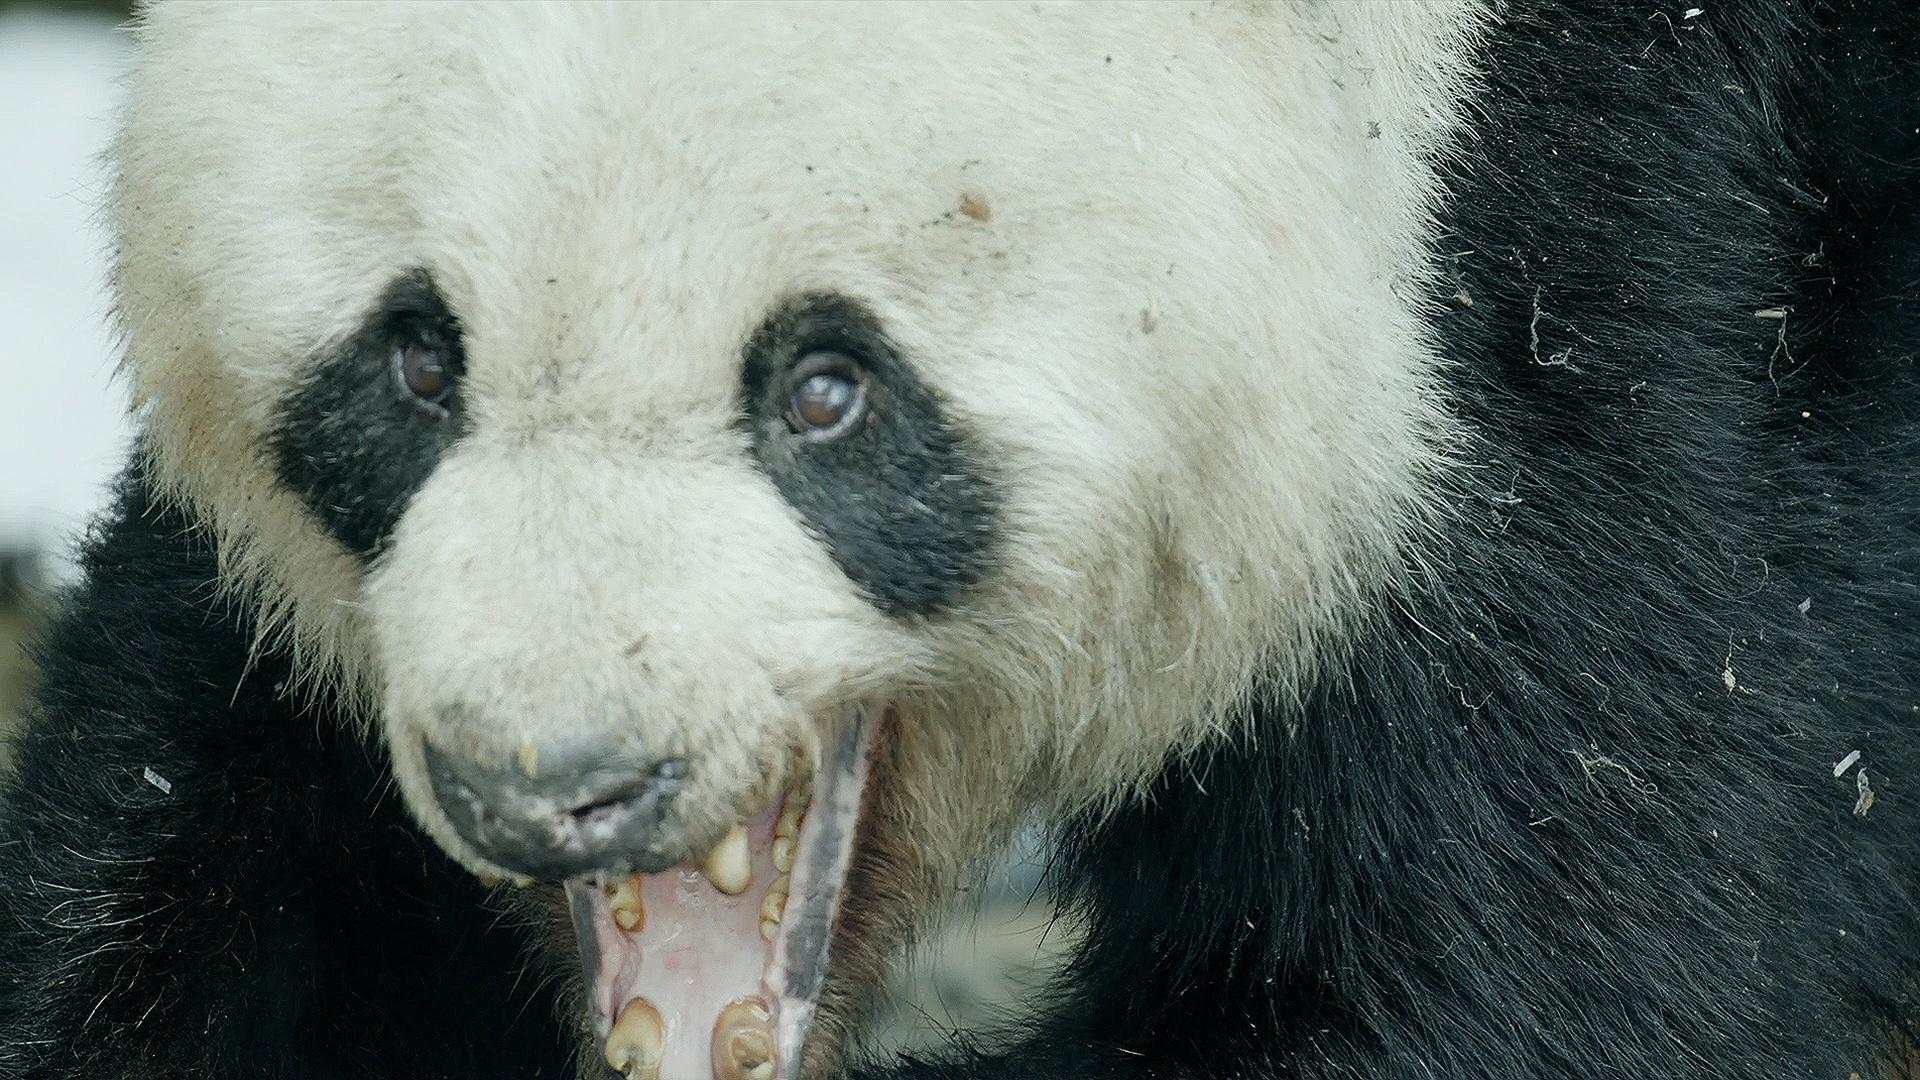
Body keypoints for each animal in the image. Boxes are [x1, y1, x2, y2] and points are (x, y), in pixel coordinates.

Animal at [1, 2, 1915, 1078]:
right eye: (415, 357)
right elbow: (184, 846)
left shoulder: (1590, 276)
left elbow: (1512, 965)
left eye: (825, 389)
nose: (546, 786)